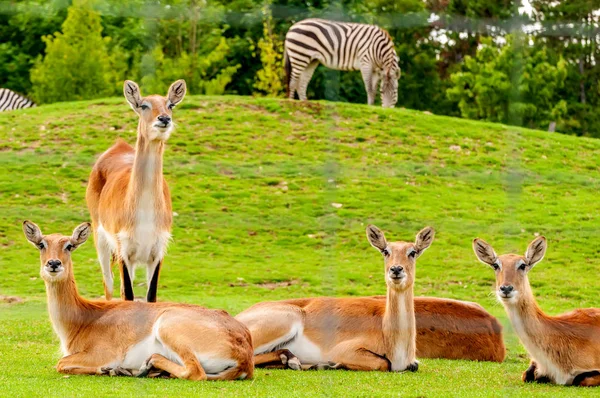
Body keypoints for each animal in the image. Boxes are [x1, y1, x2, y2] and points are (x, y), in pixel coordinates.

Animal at [22, 219, 253, 380]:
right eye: (41, 244)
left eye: (69, 245)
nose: (54, 263)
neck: (85, 319)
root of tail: (245, 355)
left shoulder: (101, 353)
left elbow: (60, 363)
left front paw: (110, 369)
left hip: (169, 327)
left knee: (195, 372)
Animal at [83, 79, 184, 300]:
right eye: (144, 105)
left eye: (170, 105)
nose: (164, 118)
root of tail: (118, 145)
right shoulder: (124, 250)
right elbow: (128, 295)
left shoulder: (157, 252)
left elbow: (150, 297)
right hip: (100, 238)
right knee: (109, 284)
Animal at [237, 227, 504, 370]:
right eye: (385, 250)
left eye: (413, 251)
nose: (396, 269)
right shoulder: (346, 350)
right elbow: (382, 363)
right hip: (283, 321)